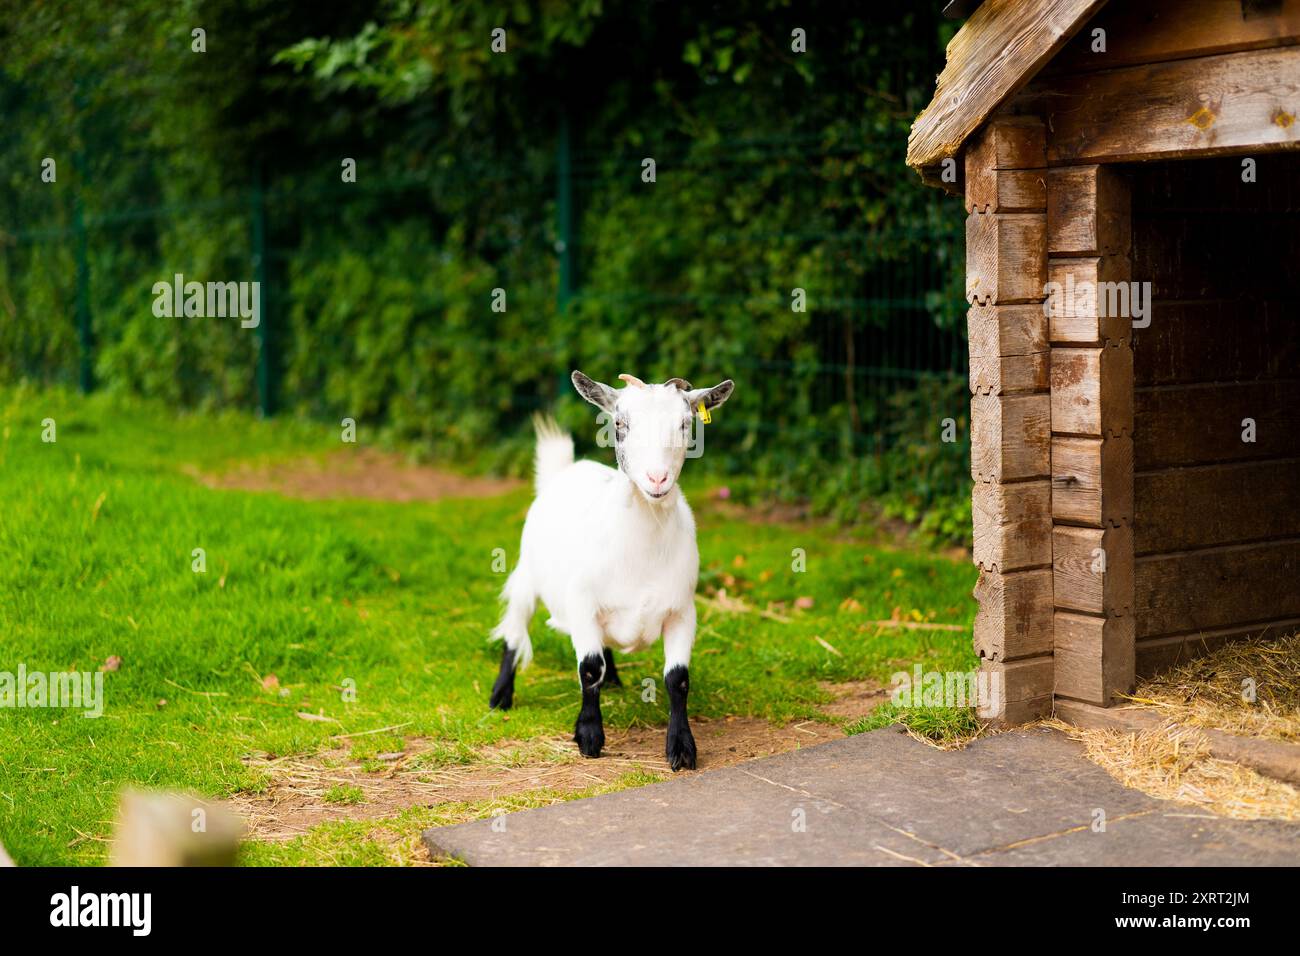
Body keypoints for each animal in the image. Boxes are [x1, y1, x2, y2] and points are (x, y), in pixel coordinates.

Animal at [489, 370, 735, 770]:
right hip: (526, 574)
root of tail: (569, 468)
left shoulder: (683, 610)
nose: (657, 479)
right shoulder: (582, 603)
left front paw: (682, 747)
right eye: (619, 424)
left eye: (685, 424)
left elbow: (677, 679)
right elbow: (589, 668)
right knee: (514, 629)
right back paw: (500, 696)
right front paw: (588, 735)